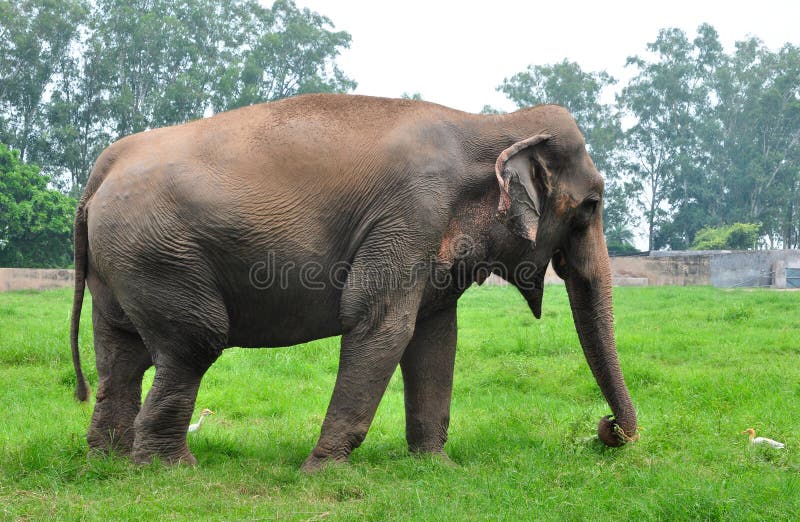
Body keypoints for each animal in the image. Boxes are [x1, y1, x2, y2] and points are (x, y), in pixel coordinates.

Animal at [69, 93, 638, 469]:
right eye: (591, 205)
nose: (605, 430)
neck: (491, 123)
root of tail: (101, 170)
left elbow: (435, 337)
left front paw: (434, 468)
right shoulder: (410, 215)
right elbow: (380, 325)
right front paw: (321, 471)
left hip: (123, 262)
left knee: (120, 352)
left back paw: (108, 462)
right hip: (158, 252)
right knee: (193, 342)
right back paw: (171, 471)